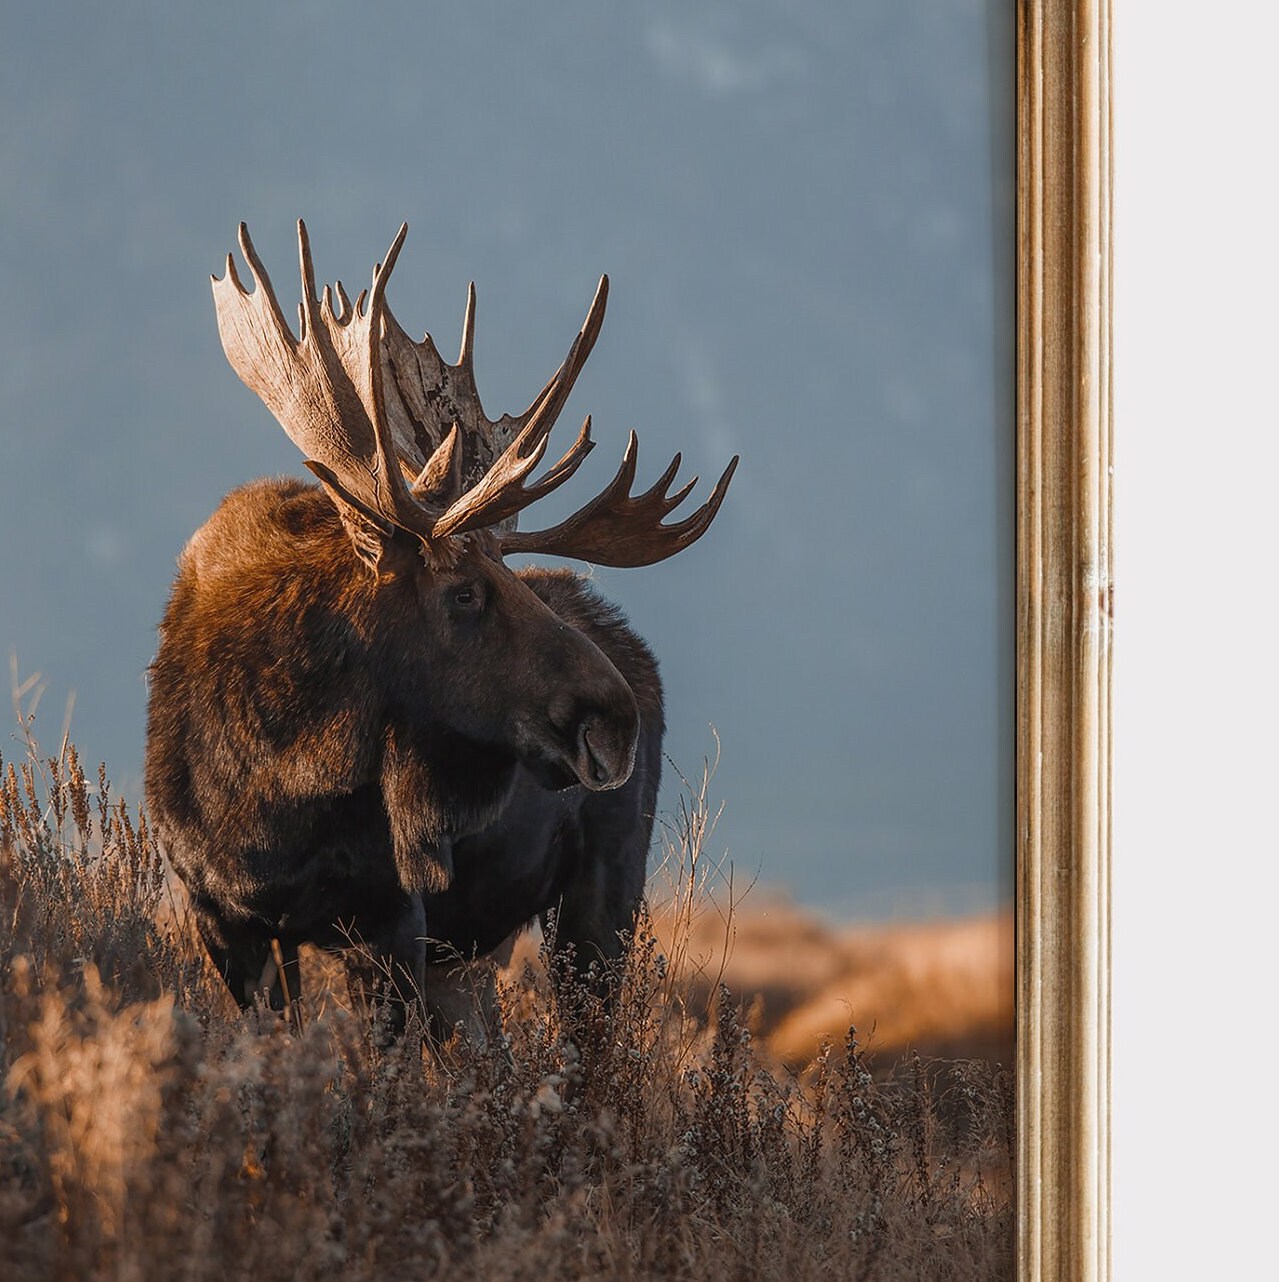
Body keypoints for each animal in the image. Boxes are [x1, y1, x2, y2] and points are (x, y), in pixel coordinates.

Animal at [144, 221, 737, 1043]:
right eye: (464, 593)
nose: (613, 723)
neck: (277, 782)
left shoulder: (390, 918)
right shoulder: (224, 921)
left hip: (601, 895)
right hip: (468, 957)